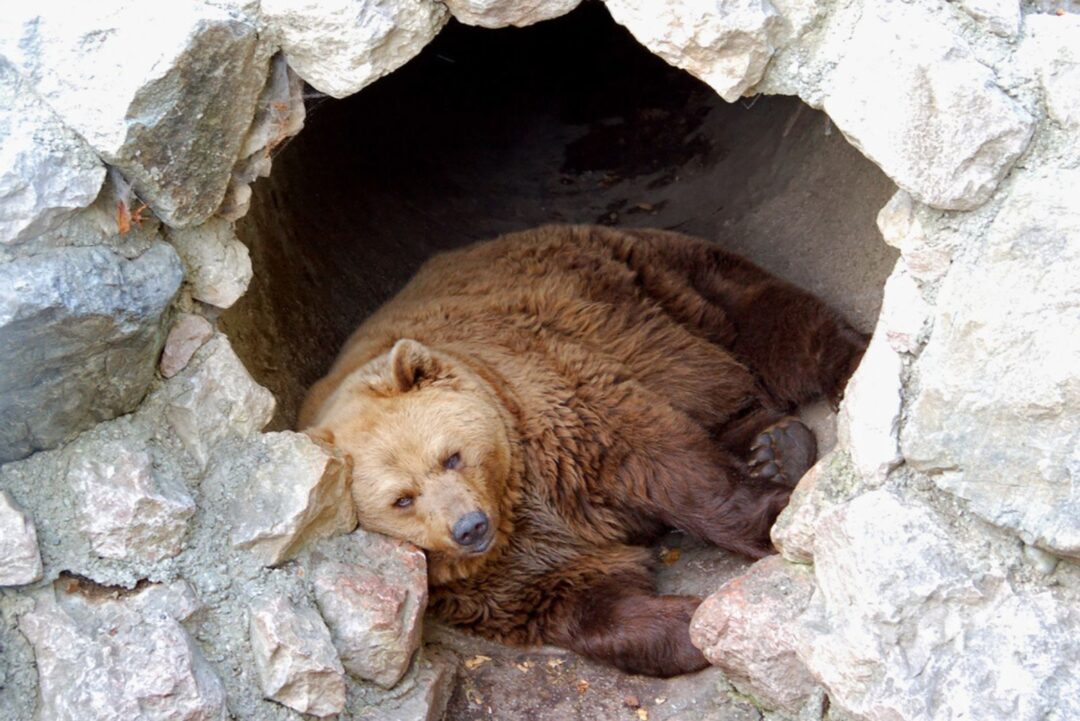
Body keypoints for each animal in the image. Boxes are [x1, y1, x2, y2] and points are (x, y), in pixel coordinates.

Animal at [298, 224, 867, 677]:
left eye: (451, 456)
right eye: (402, 499)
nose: (469, 527)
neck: (514, 497)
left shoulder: (562, 416)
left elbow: (670, 466)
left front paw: (769, 522)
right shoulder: (491, 577)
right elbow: (580, 597)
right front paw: (685, 623)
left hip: (653, 286)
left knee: (771, 325)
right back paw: (775, 446)